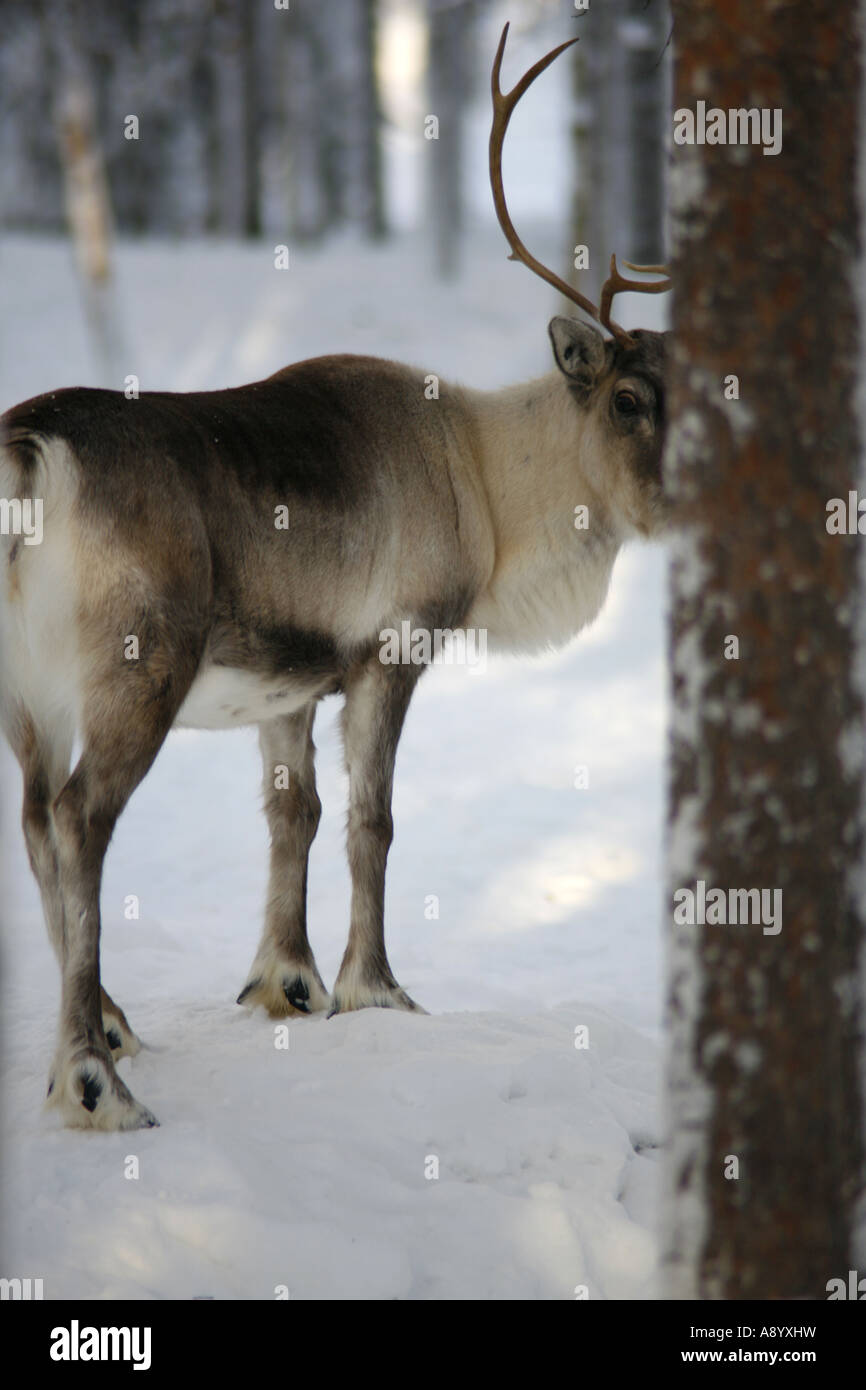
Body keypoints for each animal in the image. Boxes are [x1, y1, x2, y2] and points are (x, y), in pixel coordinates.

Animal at [0, 25, 671, 1130]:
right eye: (626, 398)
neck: (487, 486)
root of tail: (29, 452)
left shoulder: (284, 683)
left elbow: (295, 816)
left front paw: (287, 979)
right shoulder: (389, 648)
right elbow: (372, 822)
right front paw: (376, 987)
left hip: (30, 693)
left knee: (33, 819)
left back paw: (106, 1027)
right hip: (138, 668)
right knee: (79, 819)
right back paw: (95, 1078)